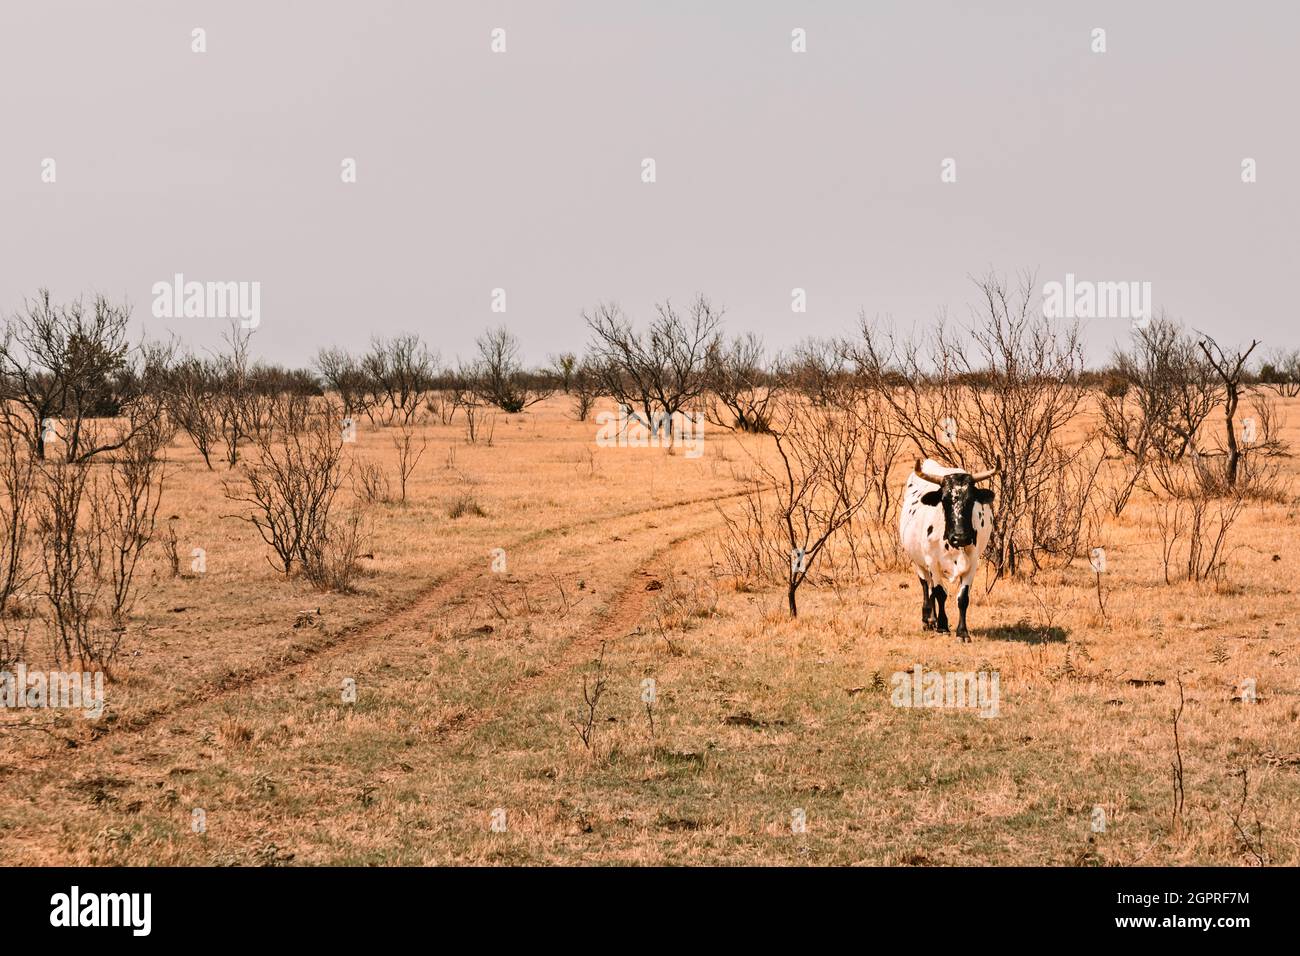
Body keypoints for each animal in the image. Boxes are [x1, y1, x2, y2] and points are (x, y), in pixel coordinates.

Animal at [899, 458, 997, 641]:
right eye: (944, 500)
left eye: (971, 500)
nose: (960, 537)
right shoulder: (932, 561)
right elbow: (939, 593)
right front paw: (942, 626)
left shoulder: (973, 563)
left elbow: (963, 598)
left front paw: (962, 632)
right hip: (919, 562)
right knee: (926, 586)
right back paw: (929, 620)